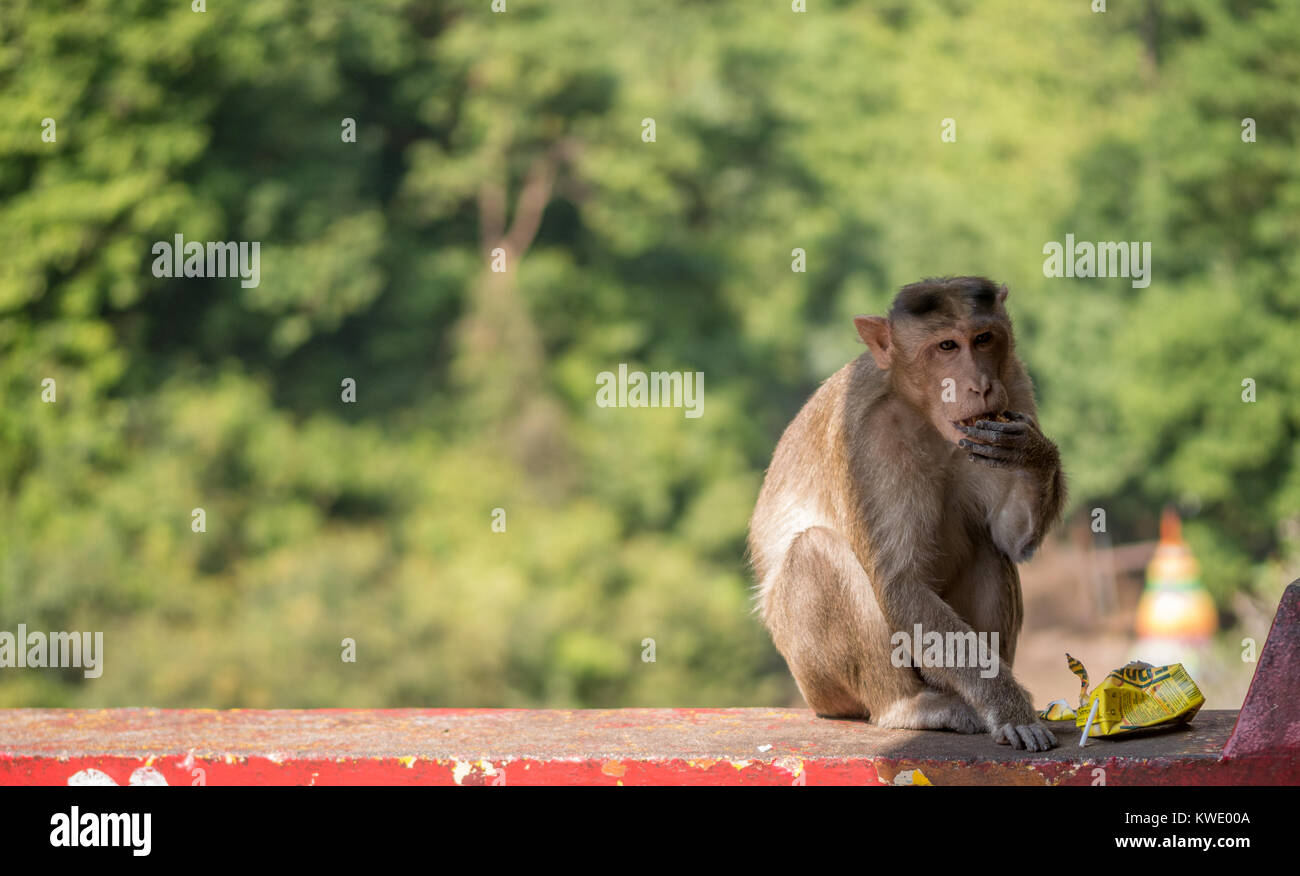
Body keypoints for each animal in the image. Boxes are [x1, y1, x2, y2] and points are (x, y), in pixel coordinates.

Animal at [749, 277, 1065, 751]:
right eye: (946, 346)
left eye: (984, 338)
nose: (980, 386)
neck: (922, 412)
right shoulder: (869, 439)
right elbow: (900, 581)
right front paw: (1009, 707)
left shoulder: (1016, 385)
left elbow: (1010, 538)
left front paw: (1033, 453)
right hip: (818, 684)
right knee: (815, 552)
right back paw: (907, 707)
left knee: (988, 548)